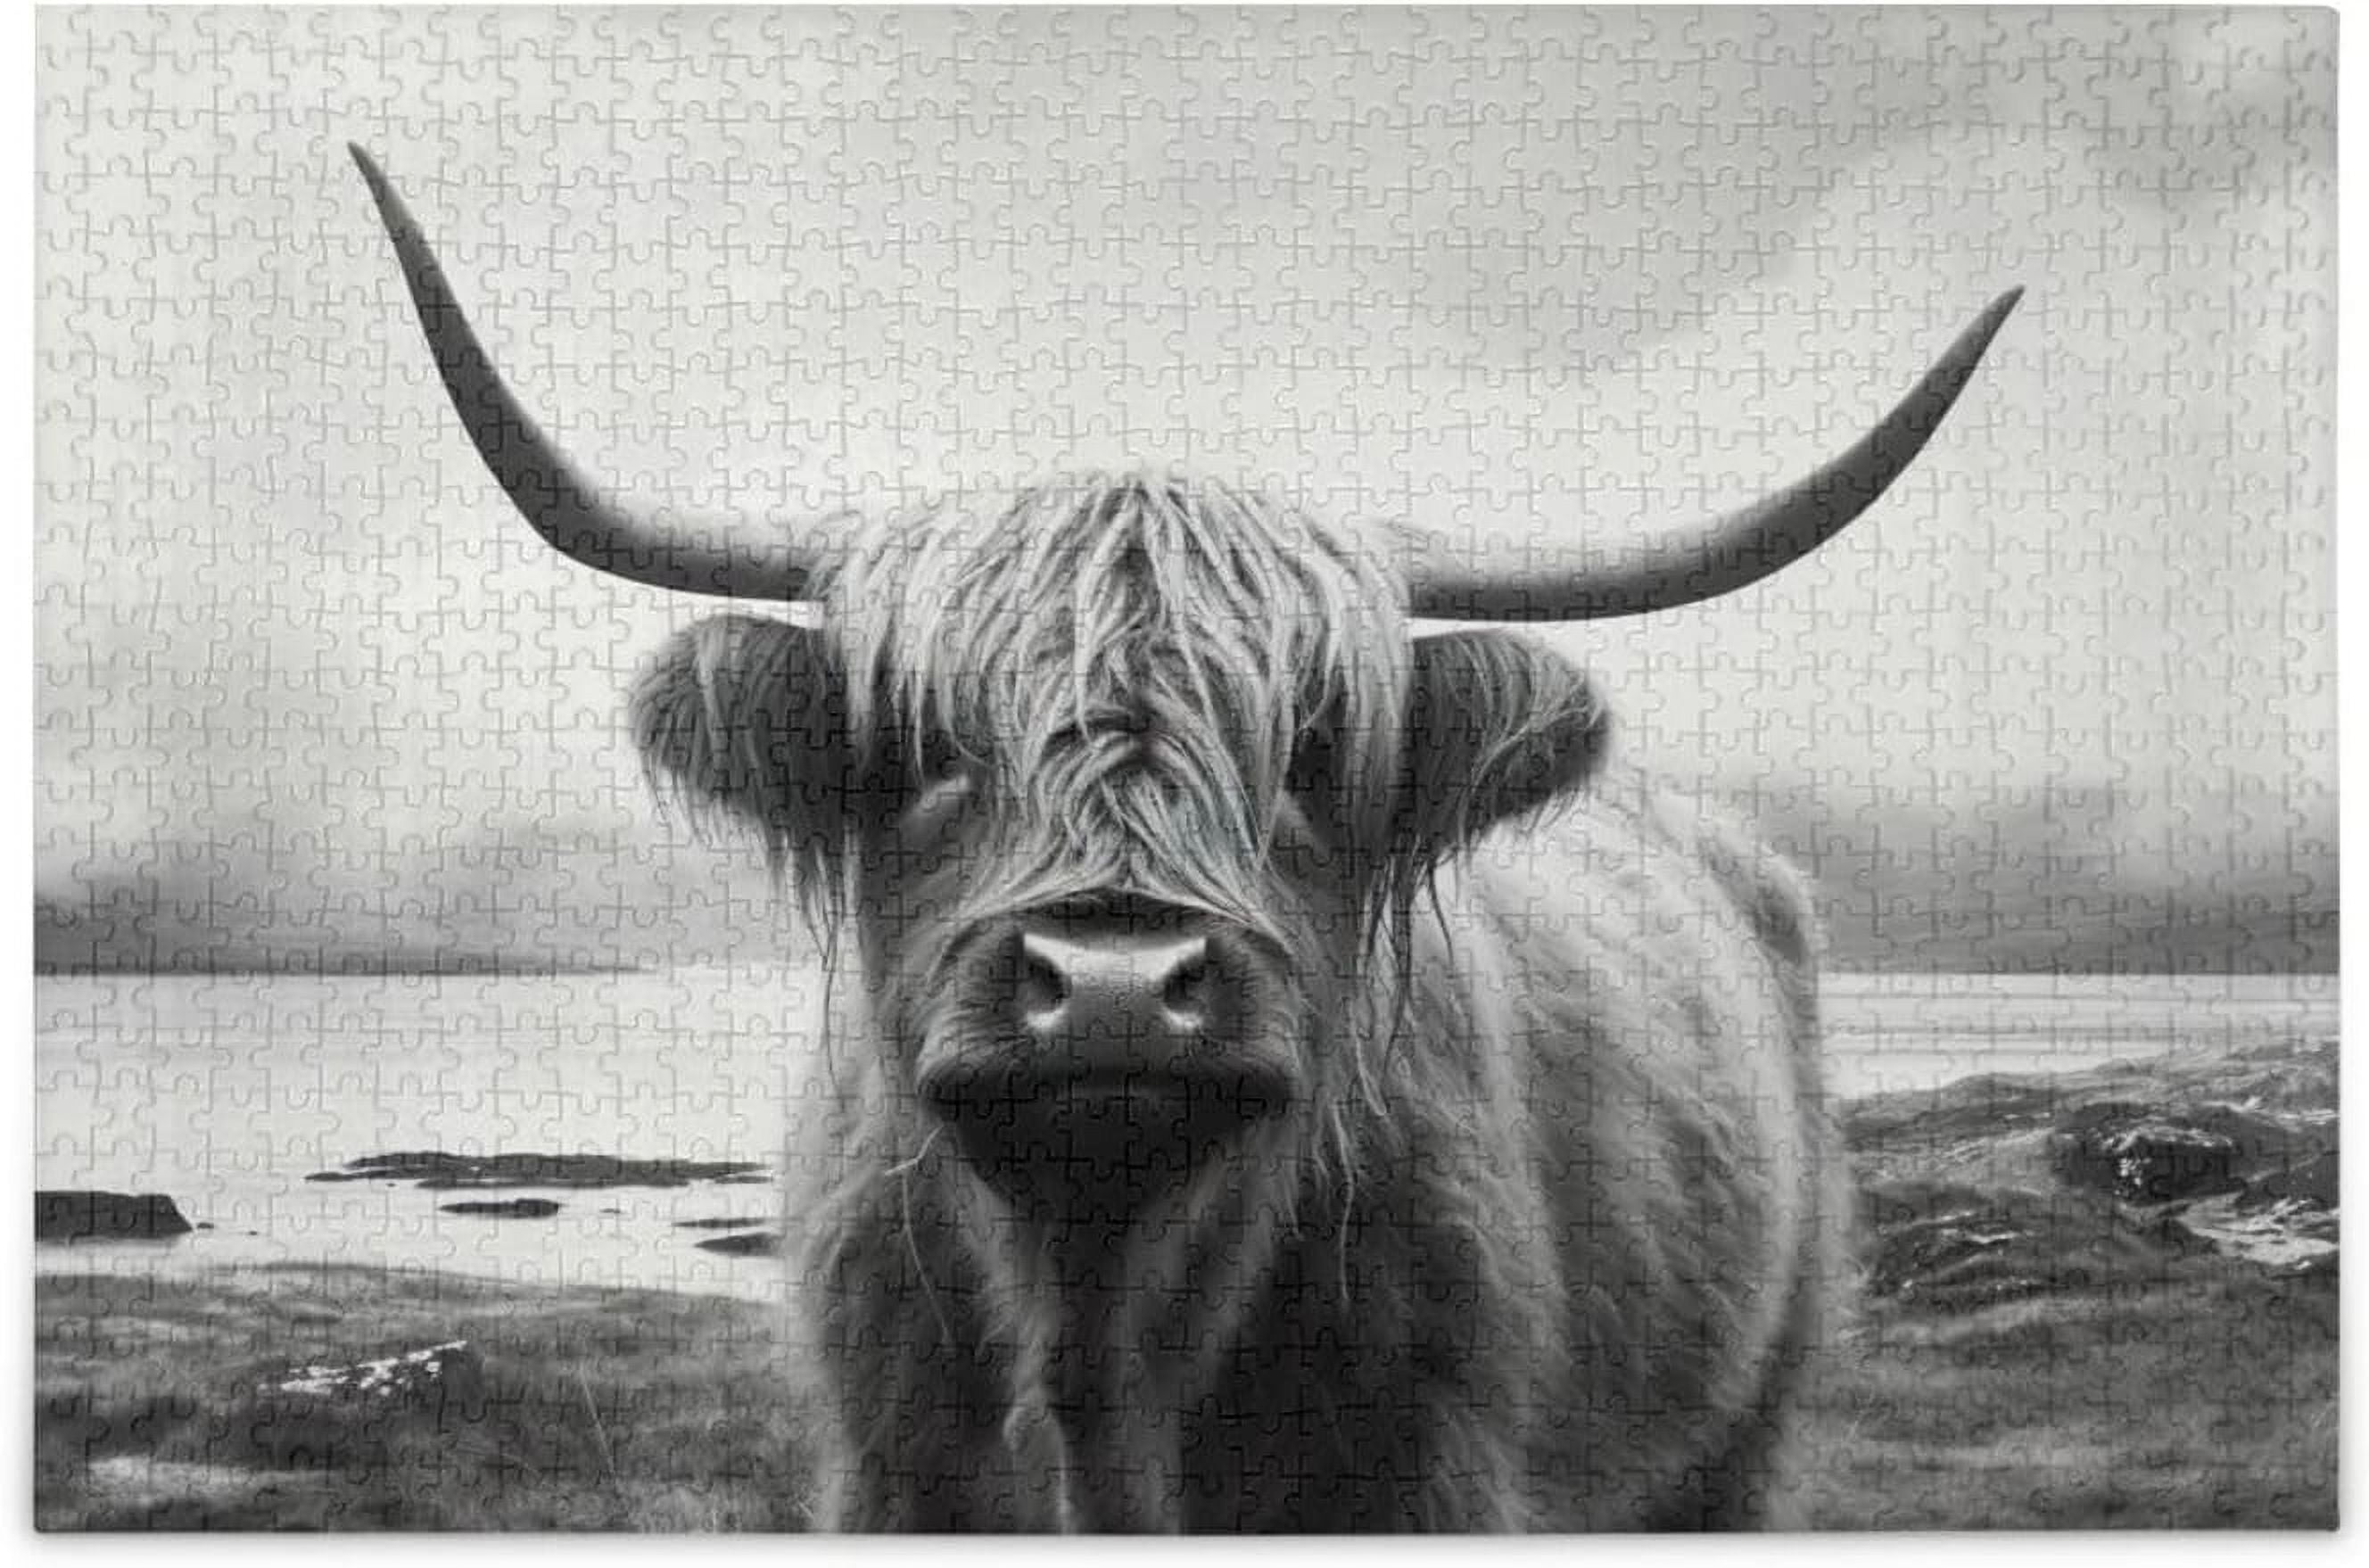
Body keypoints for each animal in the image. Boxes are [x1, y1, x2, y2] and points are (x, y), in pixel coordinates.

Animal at [351, 144, 2017, 1532]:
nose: (1112, 987)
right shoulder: (890, 1473)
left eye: (1314, 749)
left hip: (1743, 1425)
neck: (1104, 1349)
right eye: (929, 745)